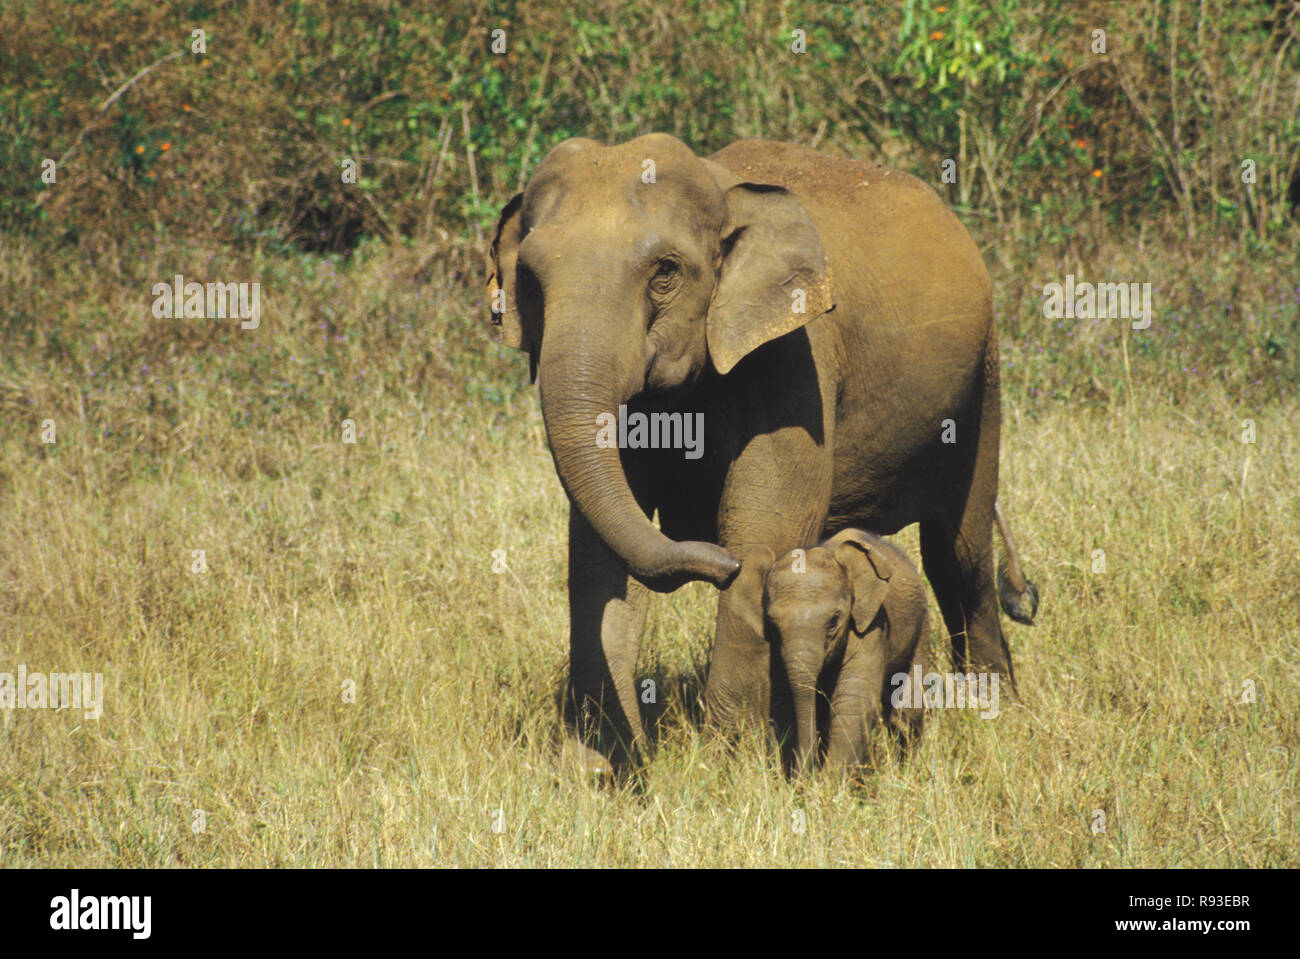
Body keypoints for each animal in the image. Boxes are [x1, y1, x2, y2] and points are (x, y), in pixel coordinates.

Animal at [736, 529, 931, 775]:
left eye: (833, 621)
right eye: (772, 624)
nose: (805, 773)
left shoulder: (870, 624)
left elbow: (852, 701)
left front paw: (831, 781)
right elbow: (782, 699)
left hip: (921, 624)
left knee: (905, 713)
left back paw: (905, 769)